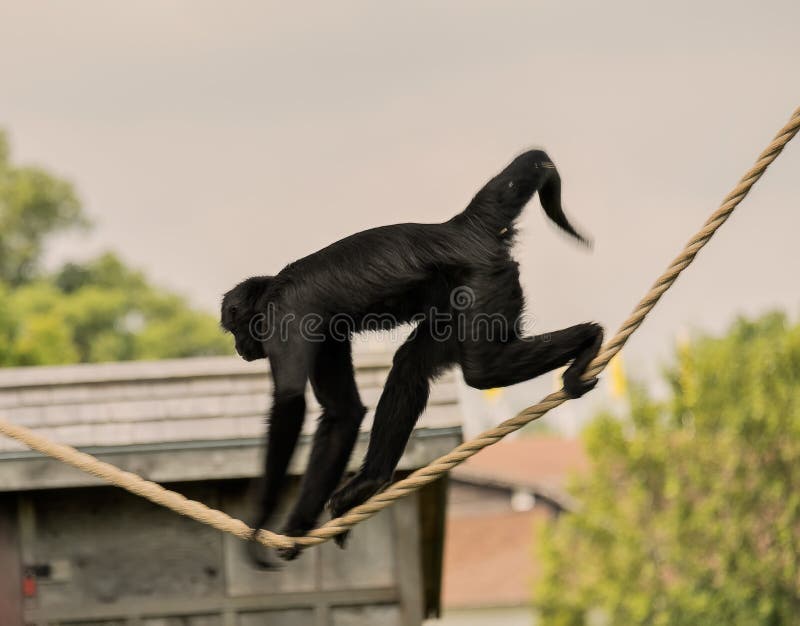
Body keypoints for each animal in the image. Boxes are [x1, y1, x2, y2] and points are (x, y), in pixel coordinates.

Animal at [221, 150, 603, 565]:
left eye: (234, 329)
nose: (239, 347)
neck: (274, 288)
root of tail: (459, 228)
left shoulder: (284, 316)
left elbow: (291, 401)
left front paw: (260, 520)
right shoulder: (326, 338)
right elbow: (344, 412)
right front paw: (297, 526)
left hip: (485, 281)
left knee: (483, 371)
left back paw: (591, 338)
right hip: (454, 304)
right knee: (410, 366)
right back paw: (368, 484)